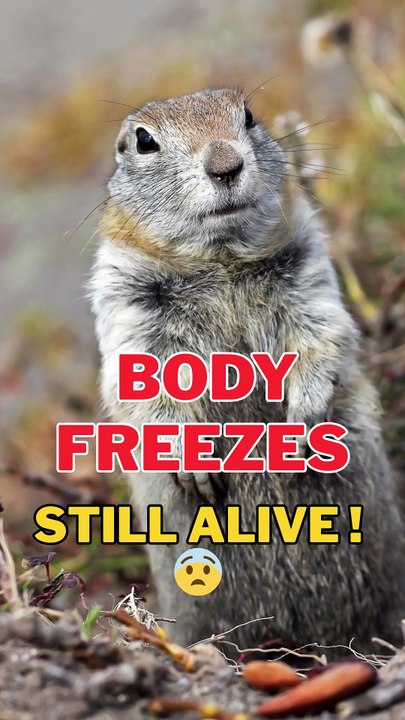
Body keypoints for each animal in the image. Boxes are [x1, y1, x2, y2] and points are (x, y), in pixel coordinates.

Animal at [91, 88, 404, 654]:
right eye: (144, 141)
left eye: (249, 116)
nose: (225, 164)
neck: (220, 260)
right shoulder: (126, 298)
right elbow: (142, 380)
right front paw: (194, 462)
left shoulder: (306, 265)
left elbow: (322, 330)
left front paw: (302, 430)